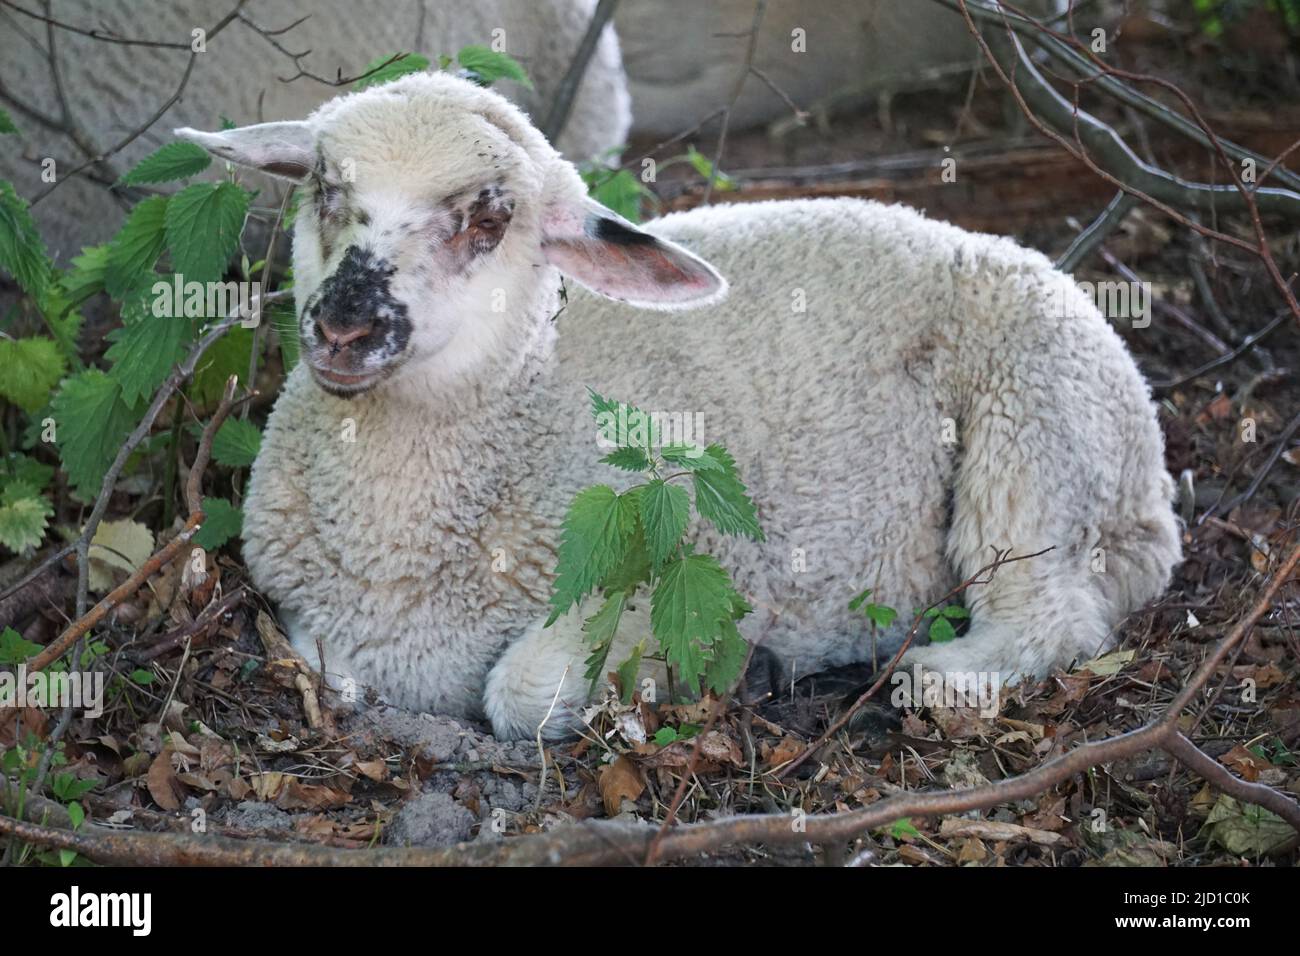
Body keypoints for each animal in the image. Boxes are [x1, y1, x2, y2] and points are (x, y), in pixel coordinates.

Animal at [176, 71, 1181, 740]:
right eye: (324, 188)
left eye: (490, 218)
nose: (344, 327)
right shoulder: (313, 623)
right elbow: (328, 670)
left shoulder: (652, 579)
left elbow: (523, 692)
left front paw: (707, 672)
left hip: (1037, 422)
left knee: (1052, 617)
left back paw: (925, 676)